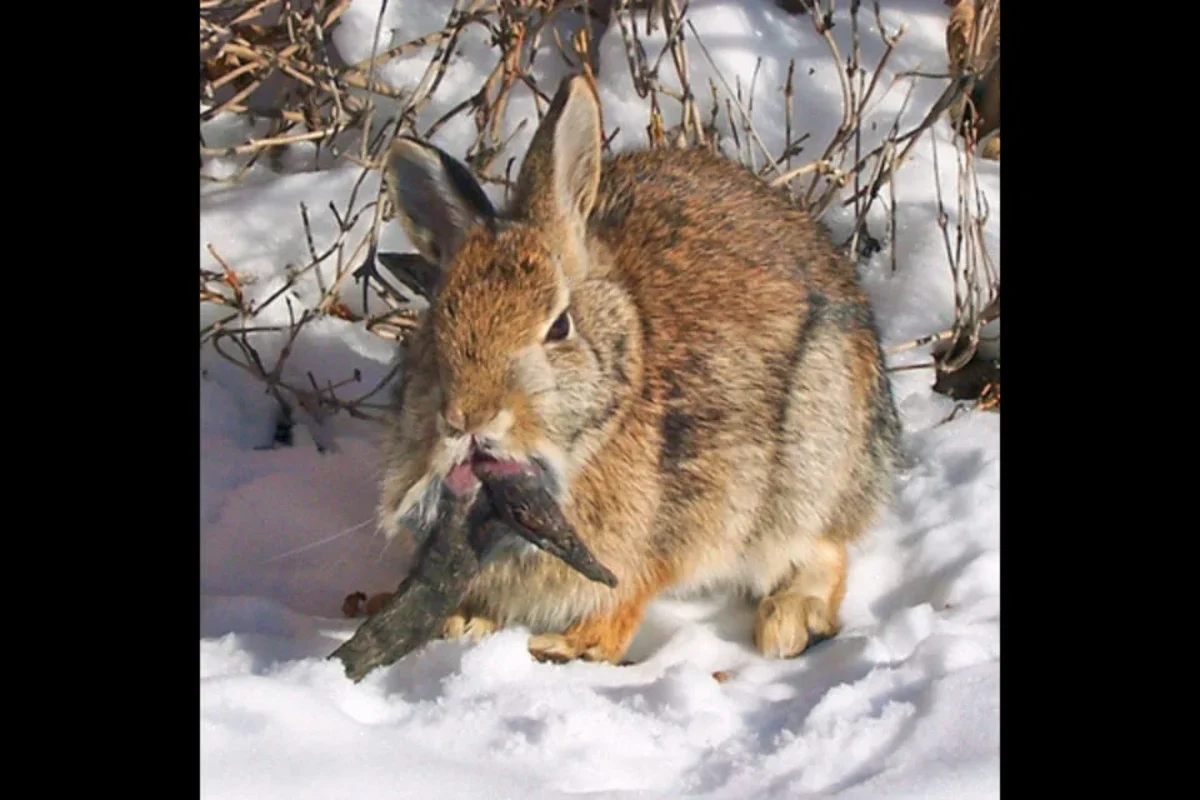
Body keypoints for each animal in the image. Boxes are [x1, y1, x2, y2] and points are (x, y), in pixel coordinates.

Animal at [374, 73, 902, 665]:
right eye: (435, 324)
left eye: (559, 327)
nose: (469, 419)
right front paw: (465, 622)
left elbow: (630, 593)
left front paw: (571, 646)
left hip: (812, 457)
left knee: (824, 549)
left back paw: (790, 622)